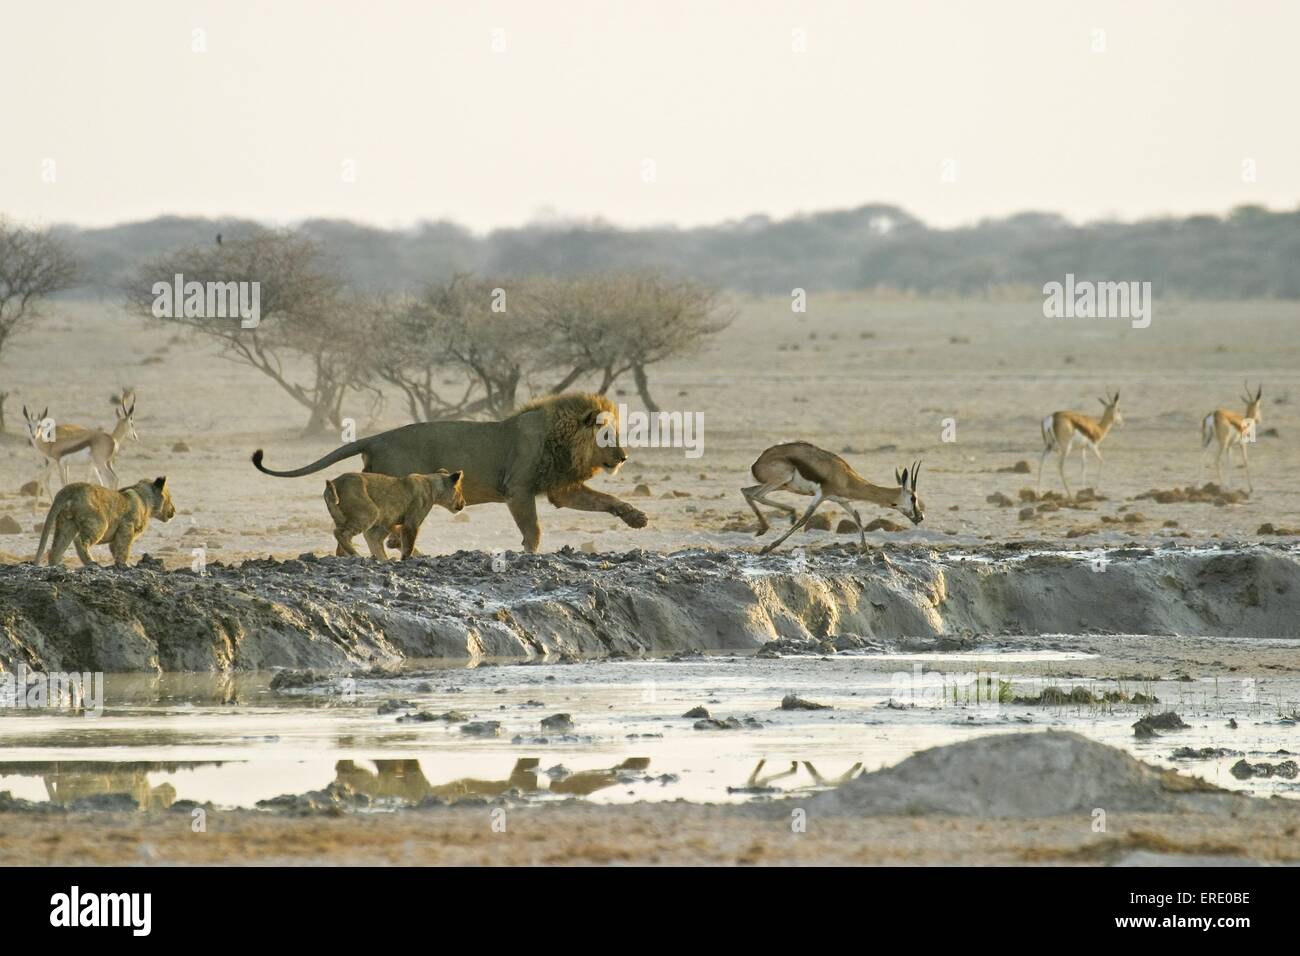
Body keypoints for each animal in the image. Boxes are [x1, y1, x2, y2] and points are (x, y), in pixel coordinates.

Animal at [34, 476, 176, 567]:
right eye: (170, 497)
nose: (174, 510)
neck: (145, 499)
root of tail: (71, 487)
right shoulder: (127, 527)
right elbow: (124, 549)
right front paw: (125, 565)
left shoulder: (117, 535)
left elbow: (115, 549)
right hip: (99, 523)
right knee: (79, 540)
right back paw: (91, 563)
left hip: (66, 524)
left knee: (56, 549)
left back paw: (57, 567)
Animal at [325, 469, 464, 559]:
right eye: (460, 491)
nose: (464, 503)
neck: (431, 485)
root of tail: (335, 482)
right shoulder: (411, 523)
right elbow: (408, 545)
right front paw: (405, 558)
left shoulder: (382, 526)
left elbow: (378, 545)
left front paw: (386, 555)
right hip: (369, 512)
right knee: (339, 533)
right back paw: (356, 555)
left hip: (343, 518)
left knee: (341, 543)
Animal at [741, 441, 924, 555]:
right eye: (913, 498)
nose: (921, 517)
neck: (845, 476)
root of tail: (757, 463)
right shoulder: (821, 495)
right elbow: (804, 519)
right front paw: (768, 548)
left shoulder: (842, 500)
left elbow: (857, 517)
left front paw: (865, 550)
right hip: (782, 479)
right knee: (757, 495)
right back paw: (787, 516)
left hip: (782, 485)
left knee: (746, 491)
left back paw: (763, 528)